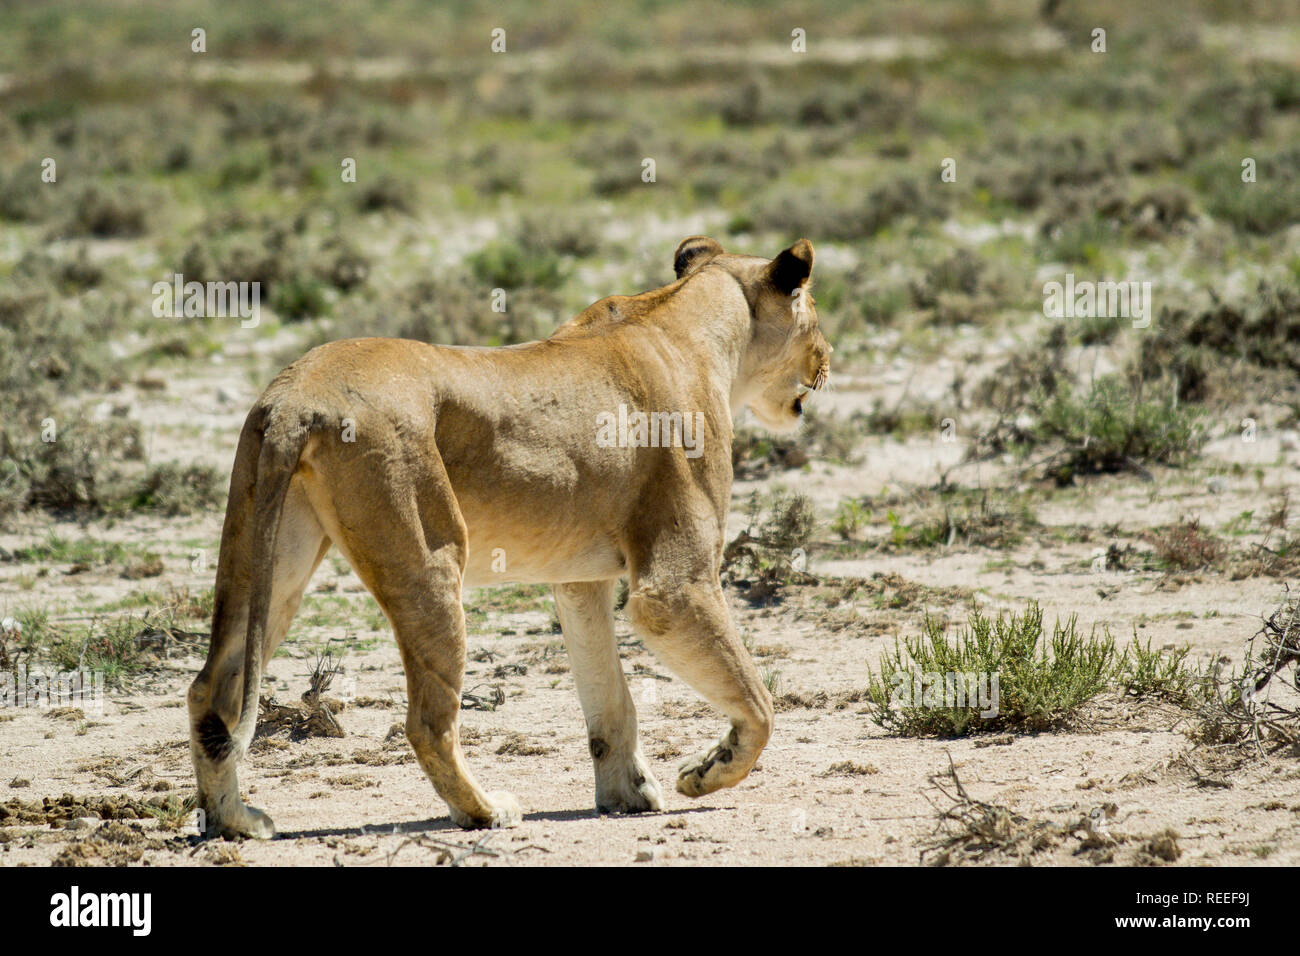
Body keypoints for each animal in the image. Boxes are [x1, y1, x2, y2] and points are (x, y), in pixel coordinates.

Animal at [187, 235, 831, 838]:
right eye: (816, 316)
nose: (828, 359)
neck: (700, 326)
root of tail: (298, 394)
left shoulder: (580, 580)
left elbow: (610, 697)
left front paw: (627, 793)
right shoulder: (674, 587)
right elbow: (758, 704)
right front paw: (706, 771)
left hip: (269, 560)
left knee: (212, 691)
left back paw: (234, 821)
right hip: (431, 557)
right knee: (427, 721)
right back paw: (485, 811)